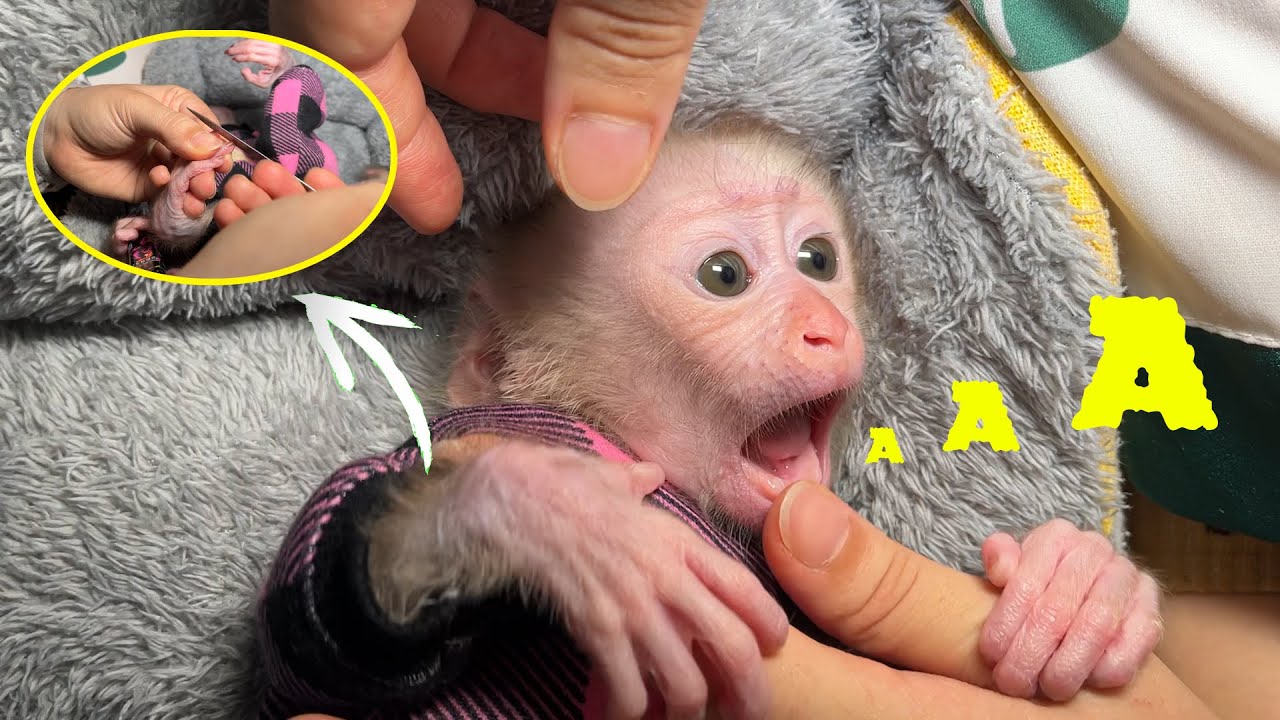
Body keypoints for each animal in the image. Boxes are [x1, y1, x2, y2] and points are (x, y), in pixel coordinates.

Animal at [254, 123, 1163, 720]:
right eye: (725, 275)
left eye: (818, 262)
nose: (824, 327)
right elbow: (309, 654)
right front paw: (561, 520)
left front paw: (1077, 590)